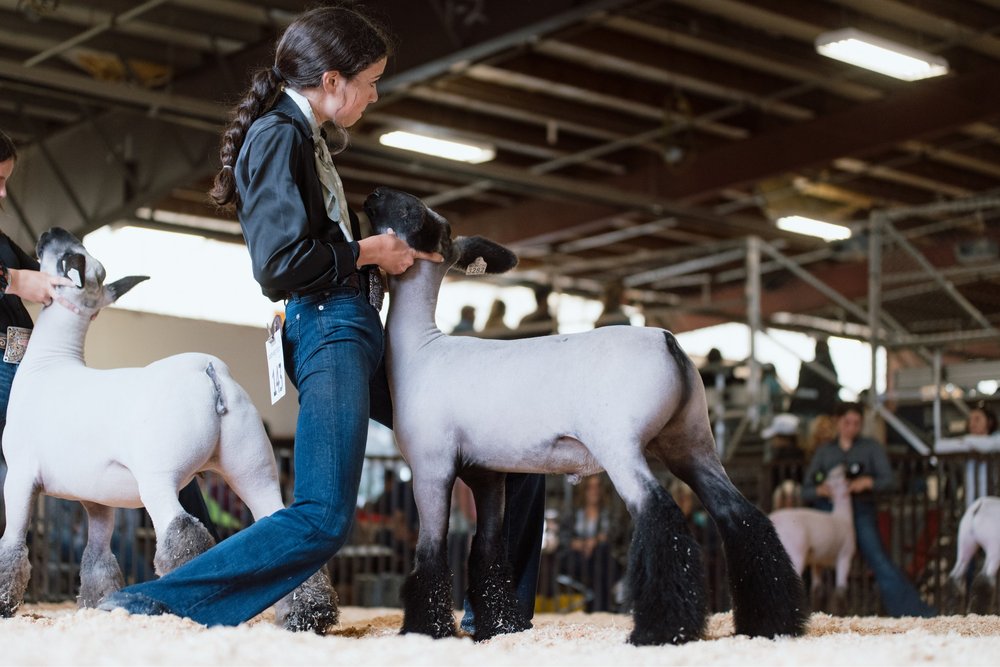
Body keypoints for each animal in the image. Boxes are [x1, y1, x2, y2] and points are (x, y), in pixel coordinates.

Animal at [0, 227, 337, 632]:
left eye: (67, 255)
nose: (52, 231)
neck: (51, 363)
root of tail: (210, 372)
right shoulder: (98, 502)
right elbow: (97, 560)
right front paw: (93, 607)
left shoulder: (20, 477)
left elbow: (12, 546)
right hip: (253, 468)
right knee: (279, 526)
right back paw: (308, 616)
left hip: (159, 477)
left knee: (184, 537)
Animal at [362, 187, 807, 645]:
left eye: (412, 210)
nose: (373, 194)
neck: (421, 349)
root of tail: (669, 342)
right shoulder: (487, 473)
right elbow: (488, 552)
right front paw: (498, 627)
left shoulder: (430, 465)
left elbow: (430, 554)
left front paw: (425, 630)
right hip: (691, 441)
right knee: (740, 516)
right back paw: (771, 622)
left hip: (619, 443)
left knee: (659, 512)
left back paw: (662, 629)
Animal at [769, 464, 854, 614]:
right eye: (836, 476)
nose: (842, 465)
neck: (842, 516)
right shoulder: (845, 555)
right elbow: (841, 590)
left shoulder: (817, 560)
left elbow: (817, 590)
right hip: (795, 552)